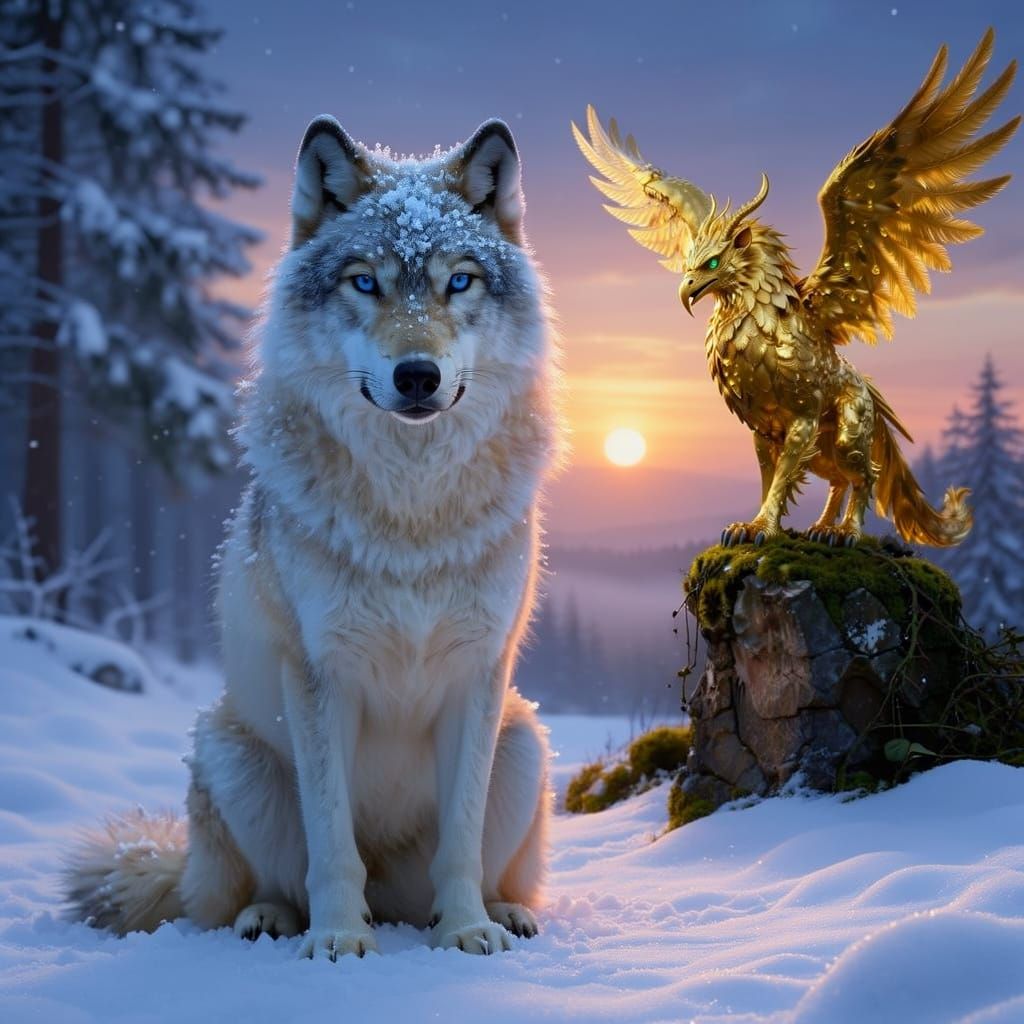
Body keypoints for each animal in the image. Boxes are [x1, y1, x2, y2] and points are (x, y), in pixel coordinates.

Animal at [64, 115, 564, 959]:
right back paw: (272, 919)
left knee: (488, 871)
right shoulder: (321, 674)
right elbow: (331, 843)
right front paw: (337, 942)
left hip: (523, 742)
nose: (417, 375)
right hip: (229, 752)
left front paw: (466, 929)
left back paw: (503, 913)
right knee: (265, 886)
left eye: (458, 281)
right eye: (365, 282)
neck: (411, 512)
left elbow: (460, 842)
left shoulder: (478, 676)